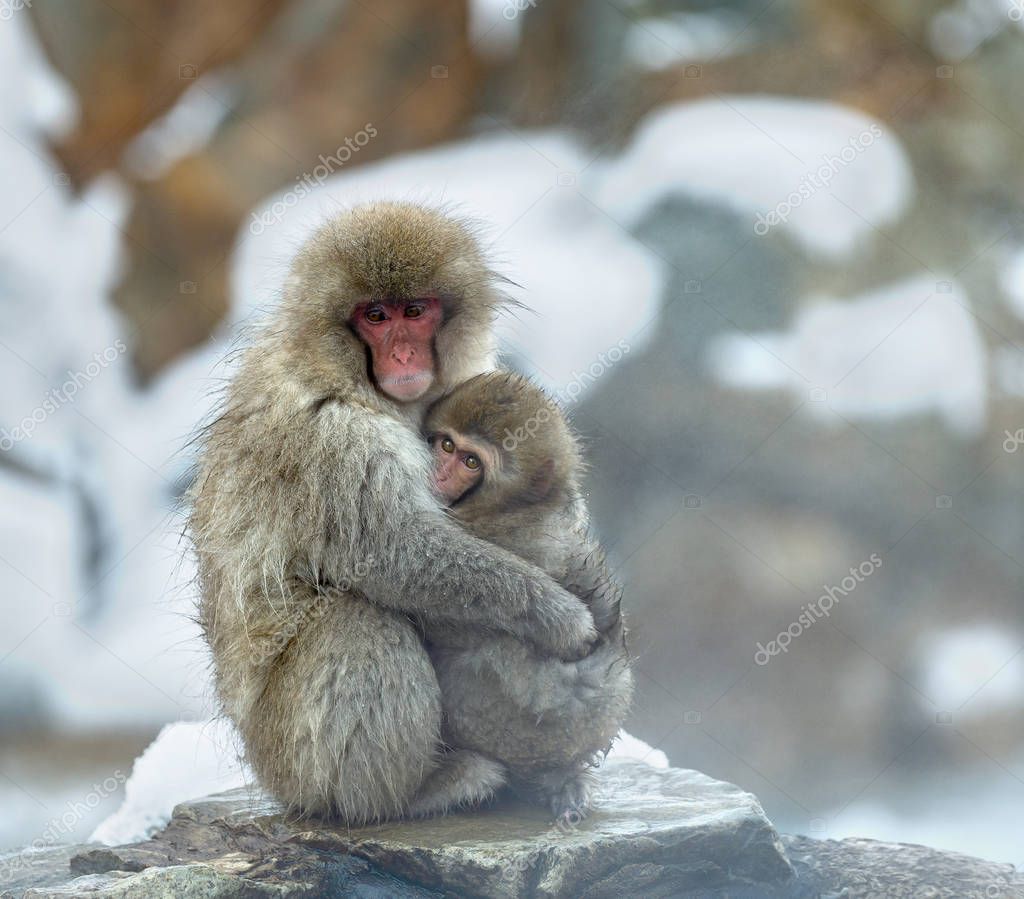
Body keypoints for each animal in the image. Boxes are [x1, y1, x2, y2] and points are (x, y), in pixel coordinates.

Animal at [188, 202, 600, 825]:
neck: (353, 380)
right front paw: (557, 614)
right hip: (288, 759)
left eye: (415, 311)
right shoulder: (332, 434)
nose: (402, 354)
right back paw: (413, 792)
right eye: (375, 317)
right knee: (357, 620)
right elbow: (392, 551)